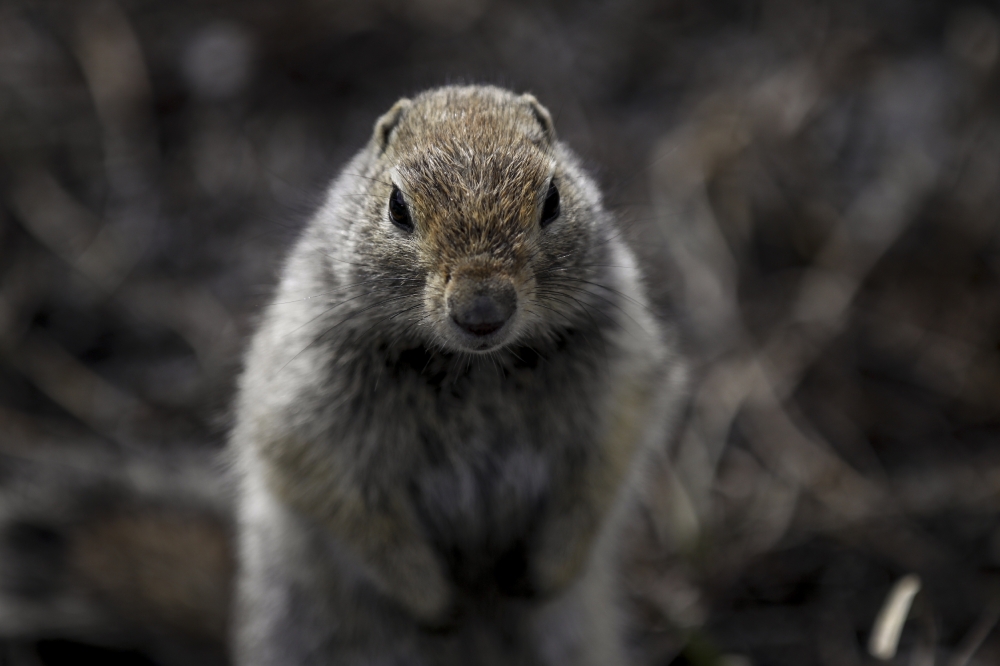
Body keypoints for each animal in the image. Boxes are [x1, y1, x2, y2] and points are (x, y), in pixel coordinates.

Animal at [230, 85, 685, 666]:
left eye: (553, 199)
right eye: (397, 206)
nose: (482, 309)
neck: (477, 366)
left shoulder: (621, 386)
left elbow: (597, 481)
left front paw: (545, 575)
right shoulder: (310, 417)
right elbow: (358, 514)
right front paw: (435, 603)